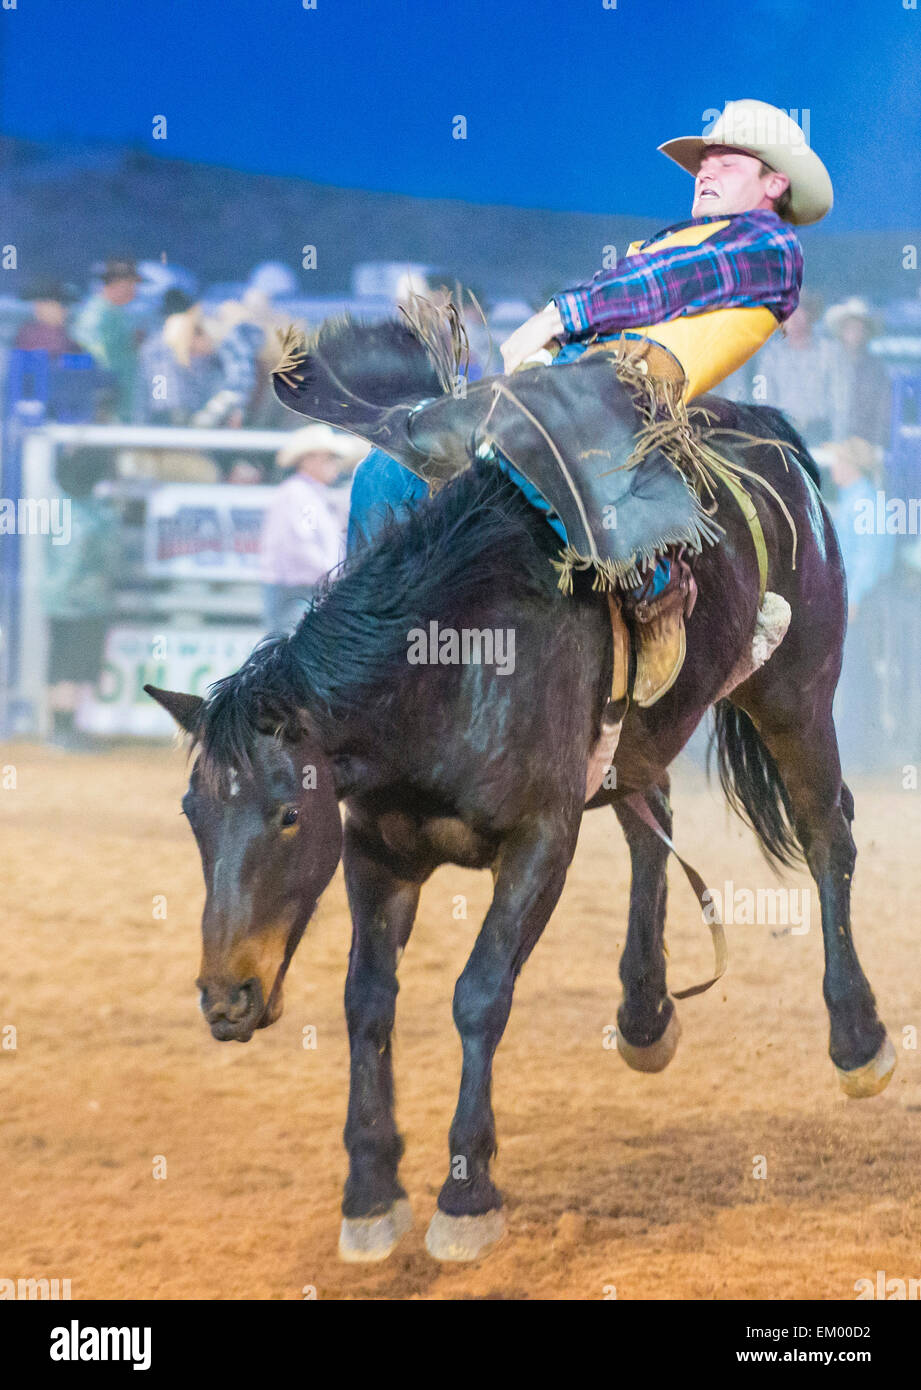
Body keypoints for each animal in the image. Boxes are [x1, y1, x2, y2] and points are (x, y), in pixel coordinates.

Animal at [146, 311, 894, 1264]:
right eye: (193, 817)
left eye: (285, 815)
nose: (225, 1000)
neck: (448, 670)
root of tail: (759, 430)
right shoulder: (375, 854)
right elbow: (366, 1004)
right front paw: (369, 1190)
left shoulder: (540, 843)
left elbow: (477, 995)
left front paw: (466, 1195)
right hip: (642, 739)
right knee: (653, 827)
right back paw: (645, 1013)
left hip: (796, 692)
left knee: (825, 834)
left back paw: (857, 1039)